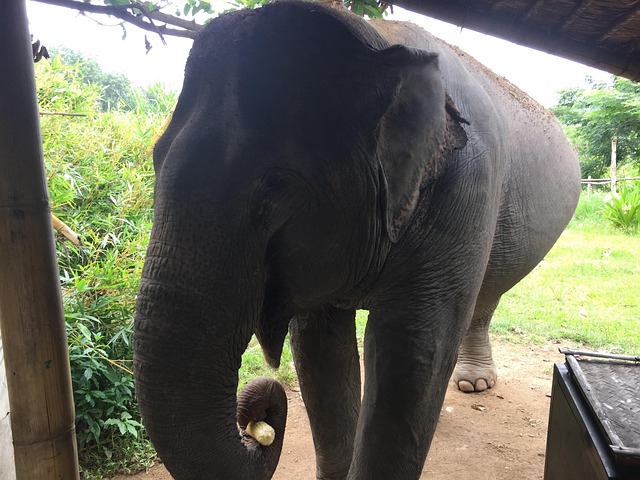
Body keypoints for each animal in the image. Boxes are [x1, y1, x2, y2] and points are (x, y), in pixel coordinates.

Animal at [133, 1, 580, 479]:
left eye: (277, 186)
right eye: (155, 158)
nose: (260, 420)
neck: (380, 41)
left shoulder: (467, 186)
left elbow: (412, 349)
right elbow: (318, 349)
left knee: (484, 298)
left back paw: (473, 382)